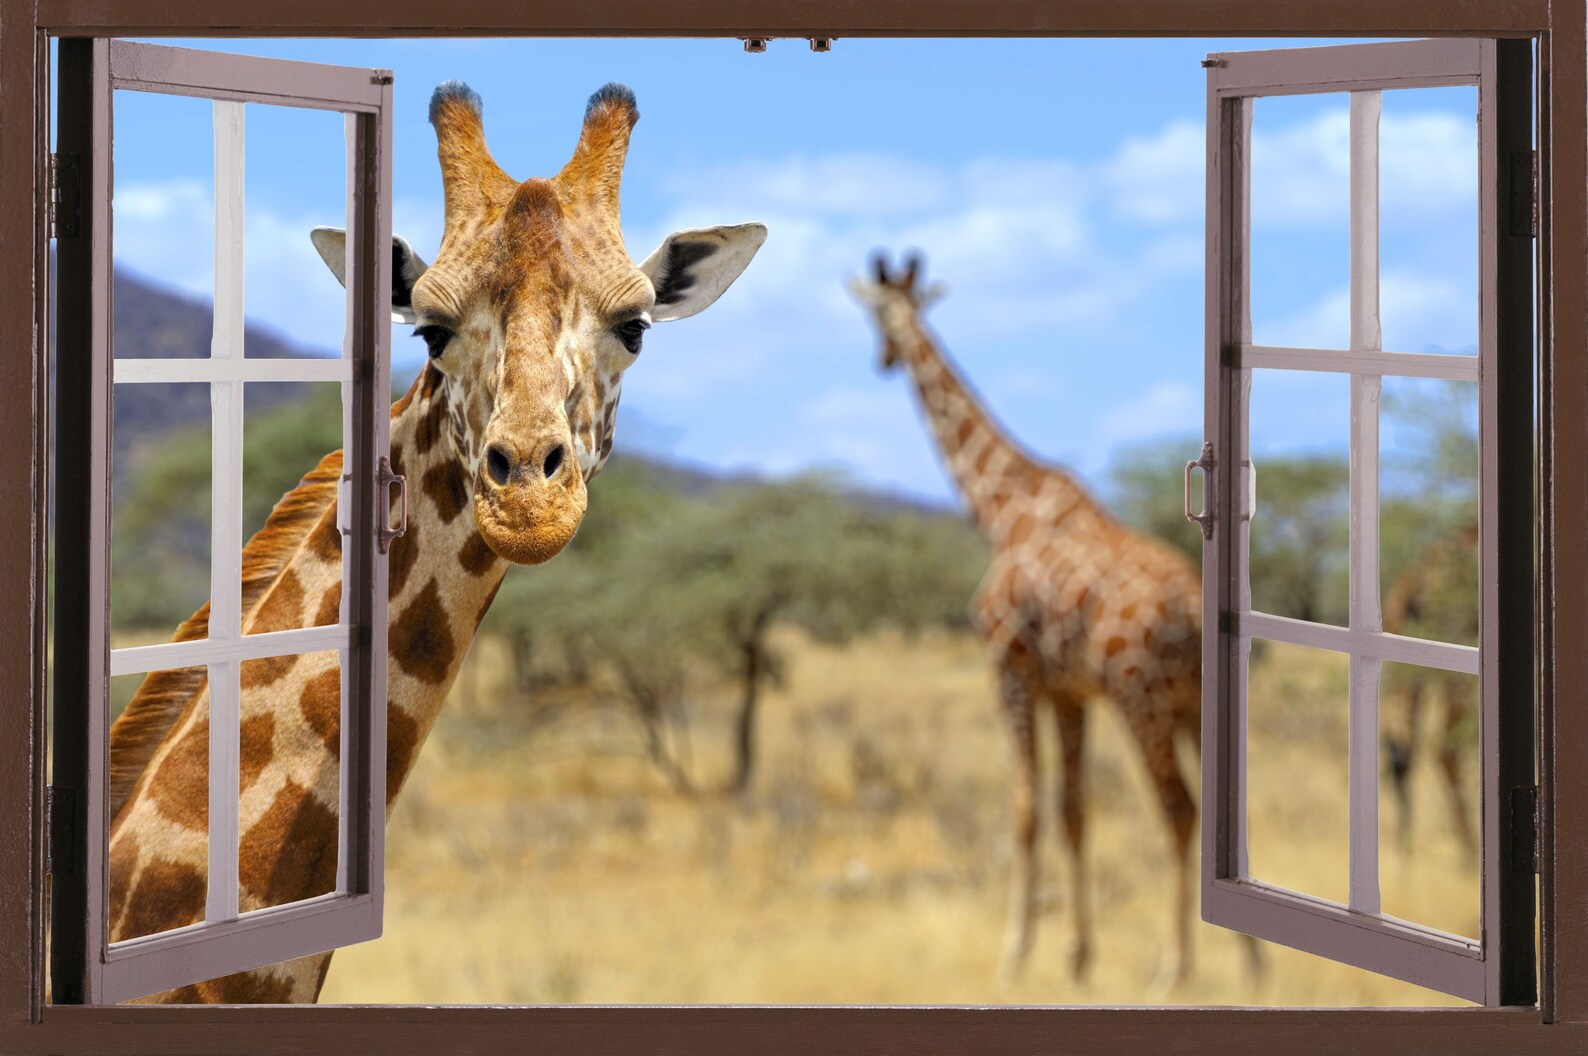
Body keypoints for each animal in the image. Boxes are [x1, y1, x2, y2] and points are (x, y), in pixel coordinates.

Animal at [849, 253, 1210, 987]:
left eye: (876, 317)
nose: (883, 359)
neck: (1001, 508)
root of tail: (1193, 610)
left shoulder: (1010, 669)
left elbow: (1023, 810)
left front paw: (1013, 956)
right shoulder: (1069, 690)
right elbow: (1073, 810)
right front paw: (1077, 956)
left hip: (1142, 699)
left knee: (1179, 811)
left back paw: (1174, 968)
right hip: (1189, 701)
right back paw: (1248, 961)